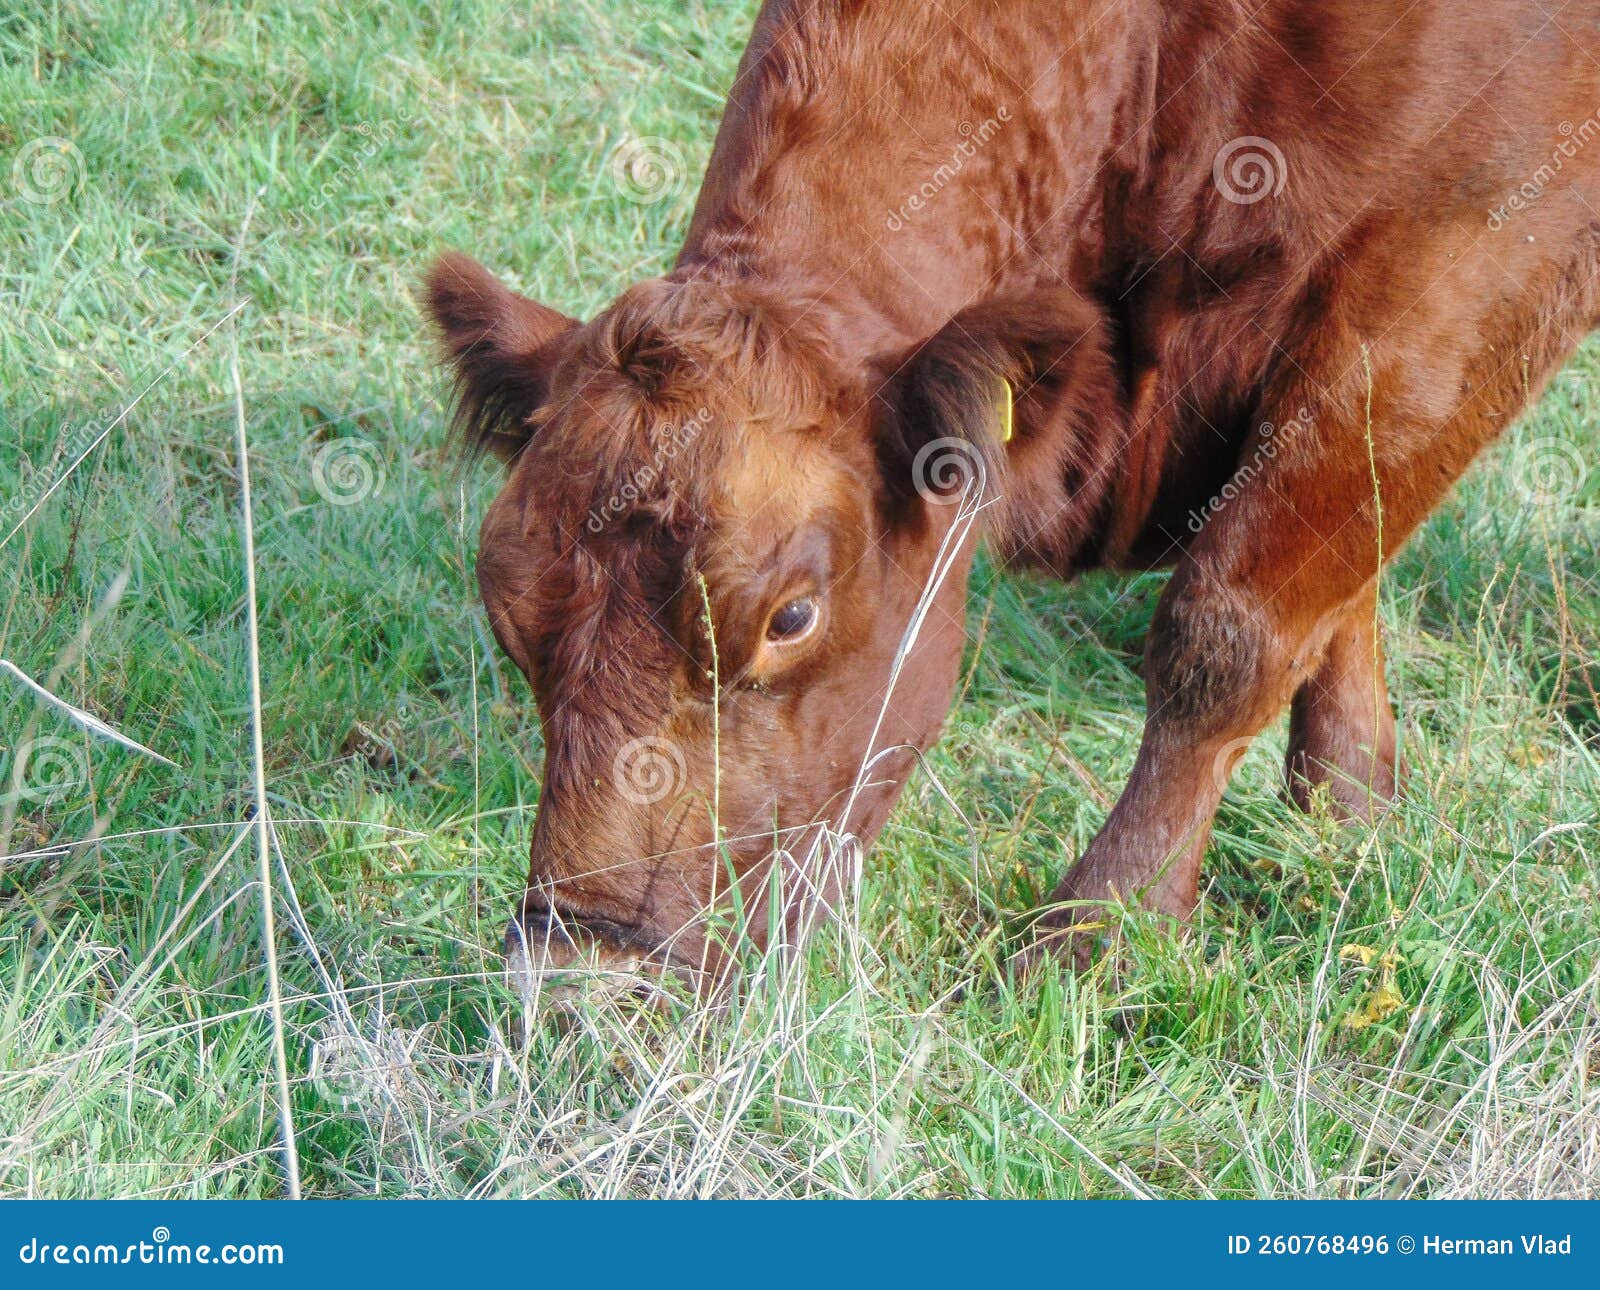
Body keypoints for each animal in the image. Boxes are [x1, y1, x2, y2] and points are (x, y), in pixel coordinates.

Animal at [425, 0, 1600, 991]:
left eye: (789, 617)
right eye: (507, 614)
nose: (578, 982)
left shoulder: (1466, 260)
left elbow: (1229, 629)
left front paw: (1096, 936)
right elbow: (1337, 574)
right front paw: (1347, 809)